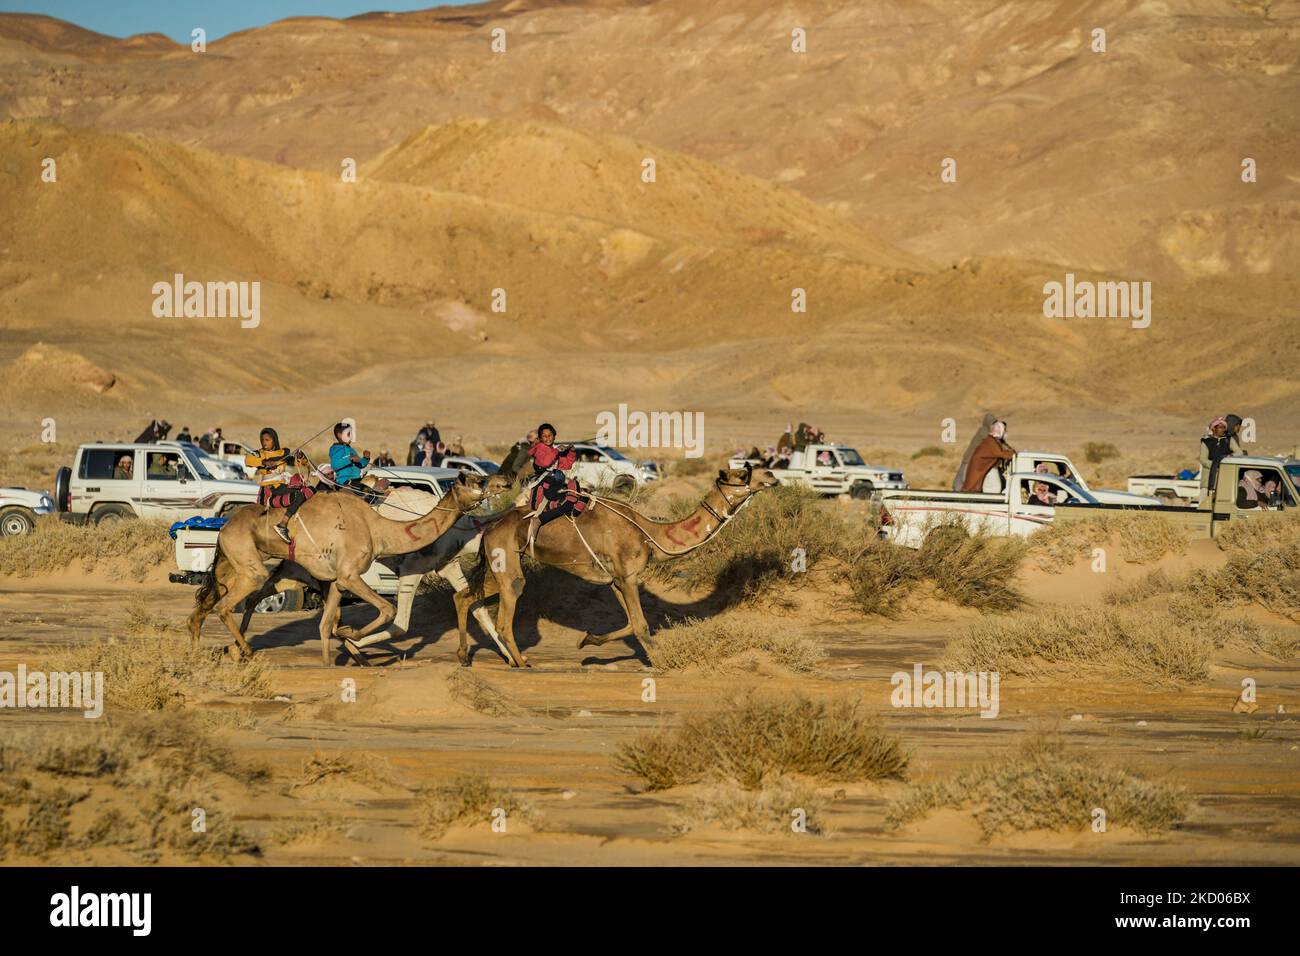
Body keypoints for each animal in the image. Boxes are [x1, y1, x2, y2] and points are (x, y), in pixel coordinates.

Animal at [189, 472, 495, 665]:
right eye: (475, 481)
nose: (495, 483)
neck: (378, 530)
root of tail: (224, 527)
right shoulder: (349, 574)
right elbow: (388, 610)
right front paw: (352, 636)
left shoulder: (336, 581)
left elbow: (326, 625)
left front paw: (337, 655)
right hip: (252, 564)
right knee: (226, 605)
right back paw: (245, 650)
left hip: (235, 564)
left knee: (208, 605)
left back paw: (209, 650)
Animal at [453, 463, 779, 667]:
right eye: (742, 474)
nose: (772, 475)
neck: (649, 534)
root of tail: (490, 528)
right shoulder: (627, 576)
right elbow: (642, 624)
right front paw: (662, 663)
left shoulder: (616, 580)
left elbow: (632, 623)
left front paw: (587, 641)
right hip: (507, 560)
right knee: (504, 615)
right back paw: (521, 662)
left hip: (500, 563)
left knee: (465, 596)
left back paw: (464, 656)